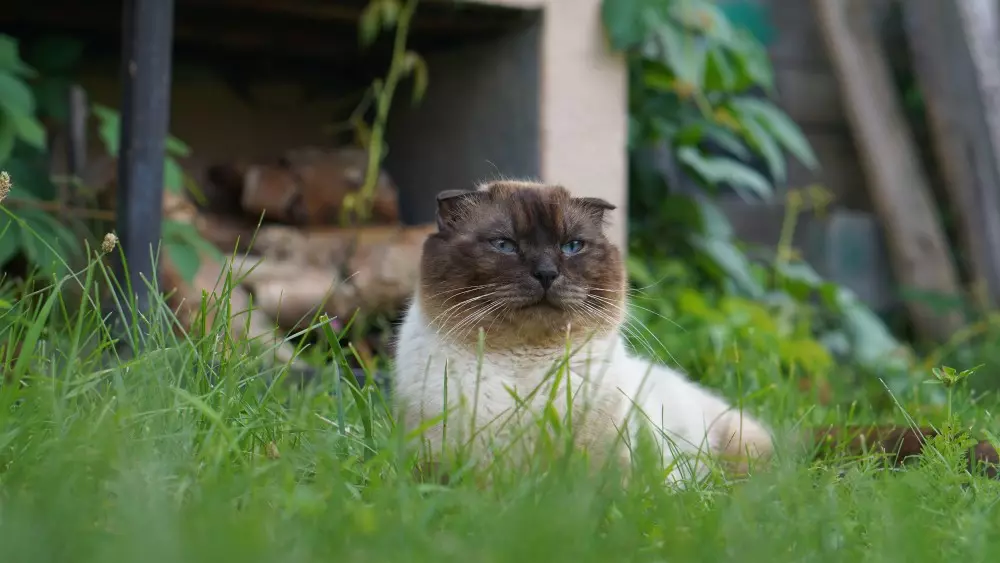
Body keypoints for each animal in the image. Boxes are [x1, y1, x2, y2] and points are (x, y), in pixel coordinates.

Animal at [390, 182, 772, 484]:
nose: (546, 273)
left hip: (739, 445)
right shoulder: (438, 463)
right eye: (504, 245)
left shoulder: (616, 469)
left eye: (572, 247)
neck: (523, 368)